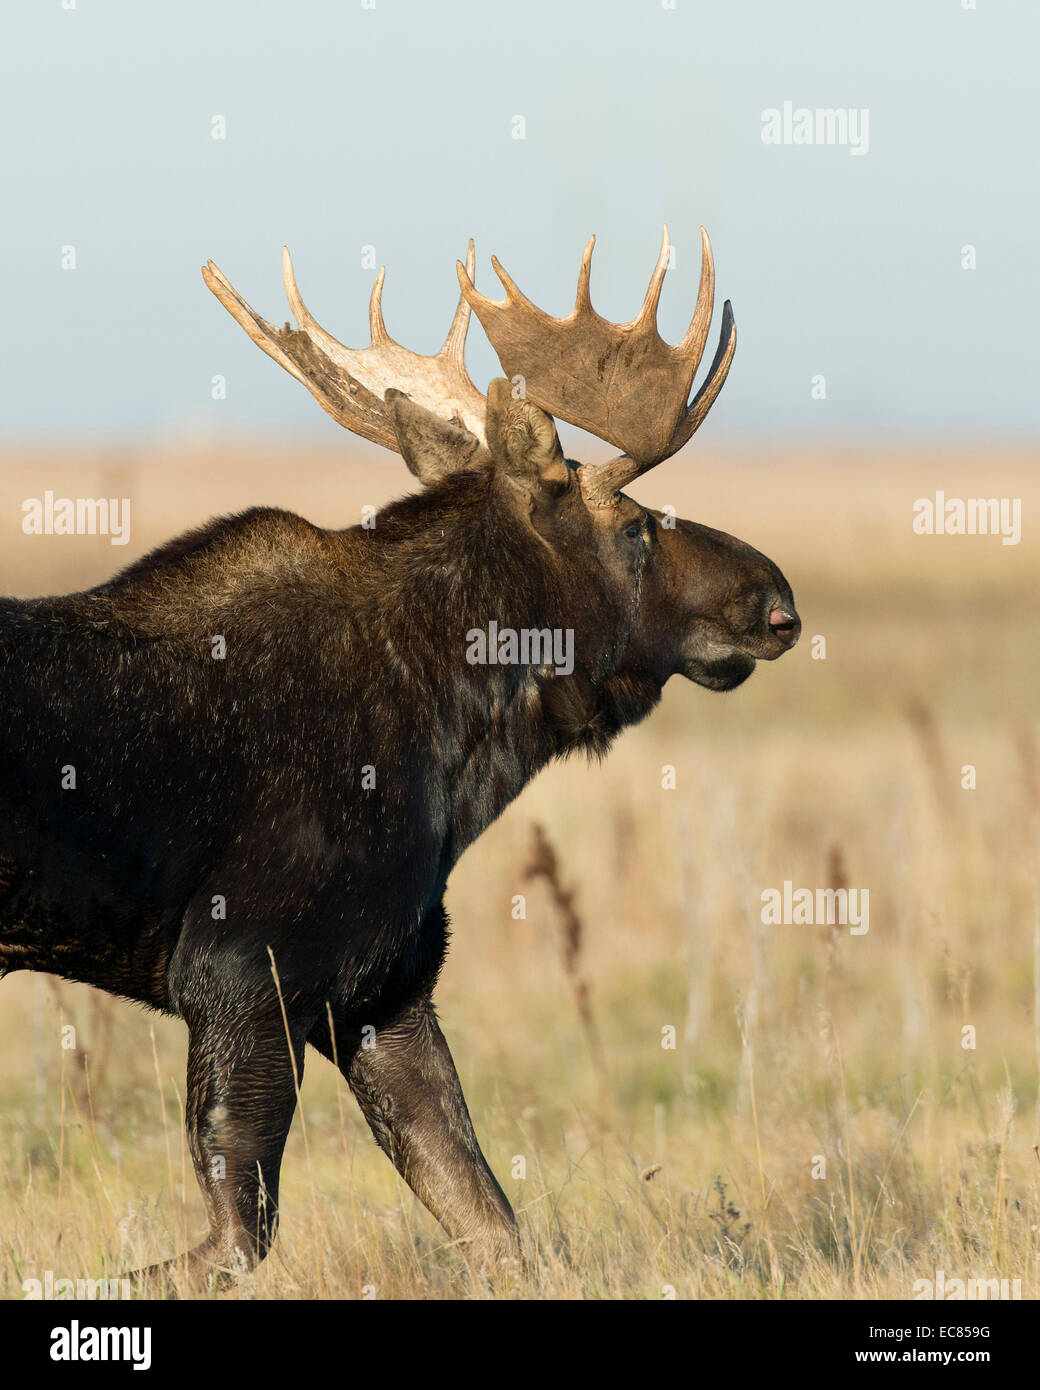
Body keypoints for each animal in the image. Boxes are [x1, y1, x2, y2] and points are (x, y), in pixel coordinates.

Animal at [0, 227, 799, 1288]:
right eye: (634, 529)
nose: (777, 601)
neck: (464, 752)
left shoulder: (387, 985)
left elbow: (489, 1217)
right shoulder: (240, 968)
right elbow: (236, 1235)